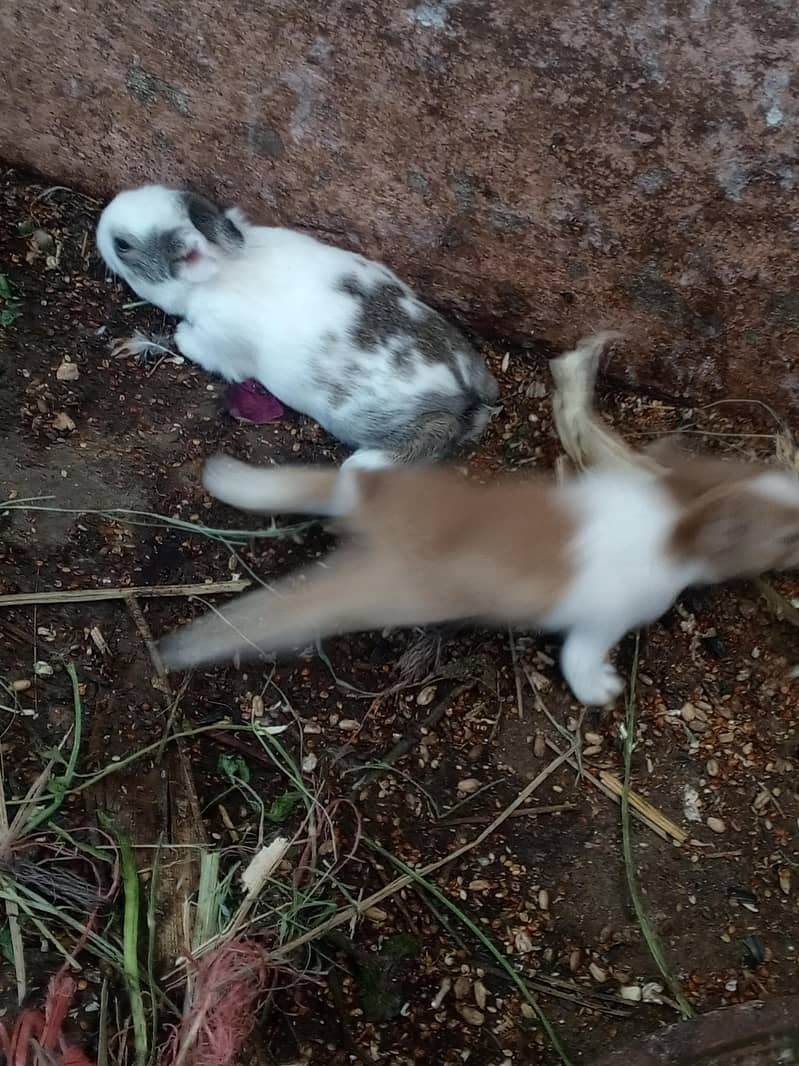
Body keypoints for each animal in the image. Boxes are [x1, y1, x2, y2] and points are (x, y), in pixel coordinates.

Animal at [96, 185, 499, 469]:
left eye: (123, 245)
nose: (102, 221)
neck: (223, 270)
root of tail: (463, 392)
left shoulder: (218, 341)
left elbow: (194, 344)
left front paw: (175, 337)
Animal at [158, 447, 799, 706]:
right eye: (788, 537)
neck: (673, 519)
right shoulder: (602, 620)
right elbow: (580, 656)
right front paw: (600, 689)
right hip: (391, 591)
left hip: (368, 499)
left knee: (340, 480)